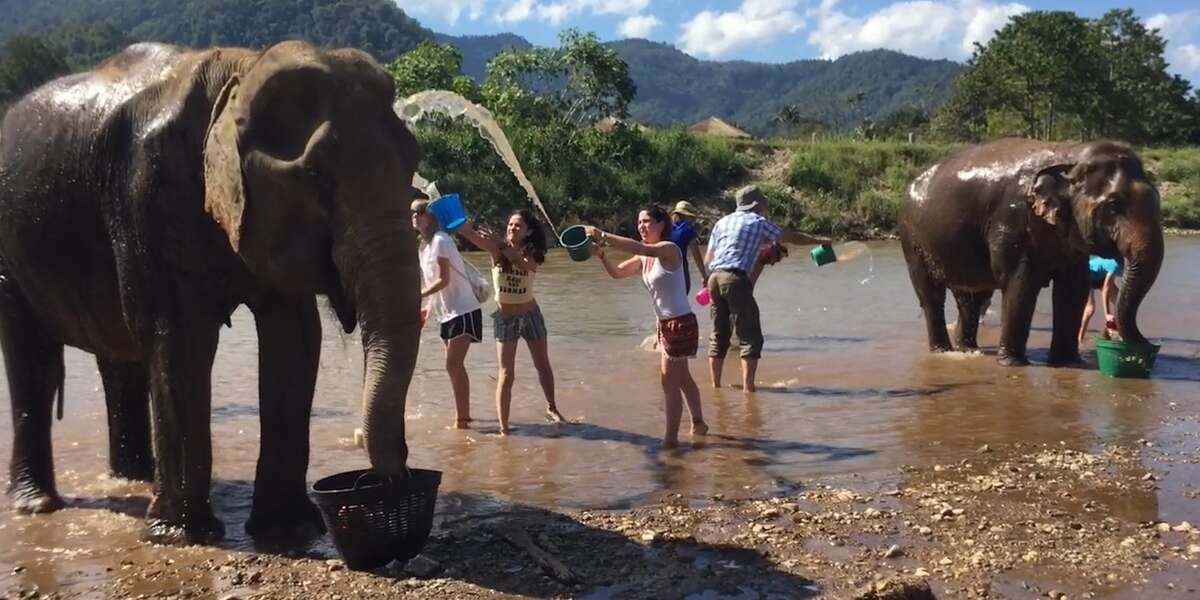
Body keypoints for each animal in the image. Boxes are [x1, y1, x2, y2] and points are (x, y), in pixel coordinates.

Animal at [0, 41, 422, 544]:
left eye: (415, 162)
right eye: (317, 178)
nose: (393, 476)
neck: (241, 73)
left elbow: (294, 340)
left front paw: (290, 529)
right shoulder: (151, 193)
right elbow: (183, 341)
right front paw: (181, 537)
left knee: (120, 360)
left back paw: (134, 479)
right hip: (10, 258)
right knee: (35, 362)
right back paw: (38, 504)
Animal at [899, 138, 1163, 366]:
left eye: (1158, 199)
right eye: (1112, 205)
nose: (1149, 348)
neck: (1069, 154)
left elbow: (1073, 288)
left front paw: (1067, 363)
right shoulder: (1011, 222)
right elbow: (1020, 283)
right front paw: (1012, 364)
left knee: (972, 298)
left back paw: (968, 351)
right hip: (912, 241)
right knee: (931, 296)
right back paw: (942, 351)